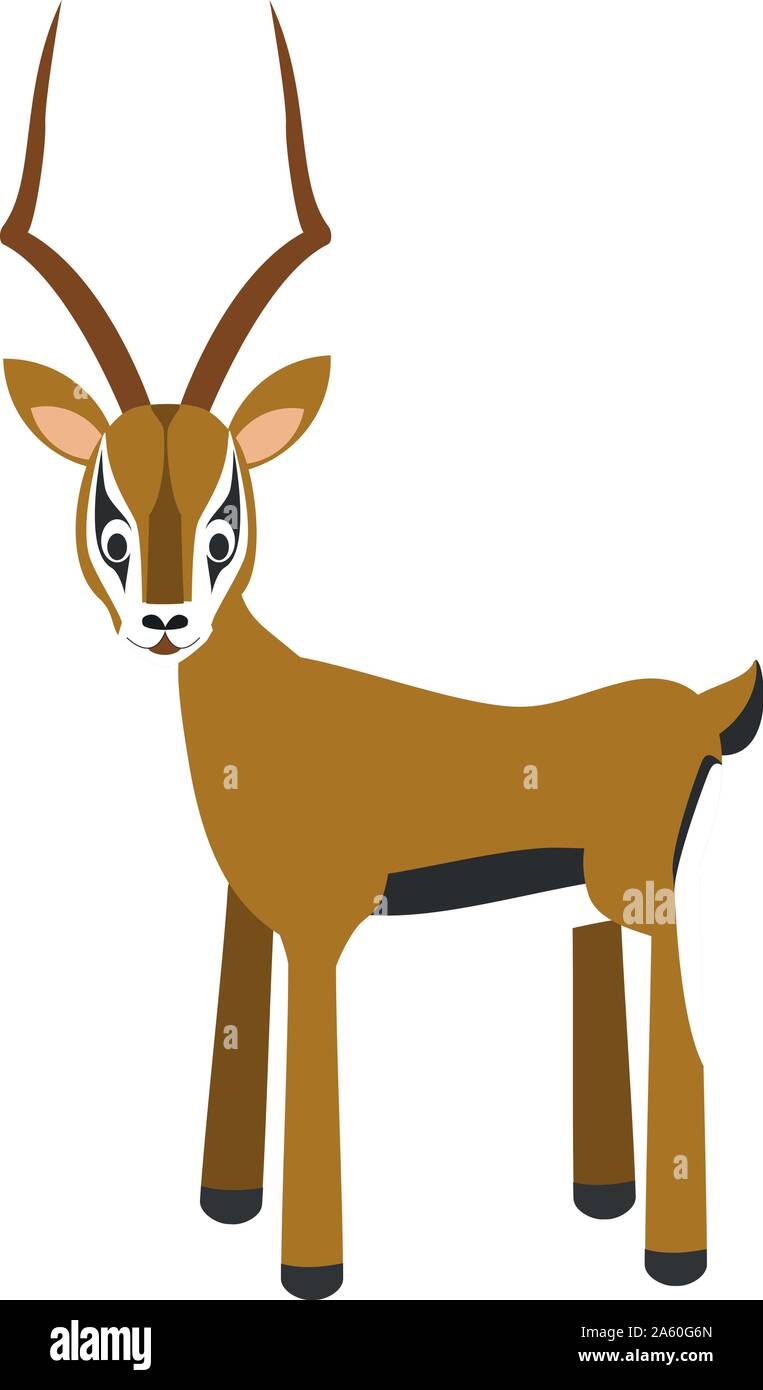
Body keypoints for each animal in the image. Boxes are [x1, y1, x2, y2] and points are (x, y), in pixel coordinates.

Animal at [3, 4, 761, 1301]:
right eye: (110, 513)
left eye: (225, 514)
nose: (166, 622)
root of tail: (711, 698)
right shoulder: (244, 912)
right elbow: (233, 1044)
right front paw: (221, 1212)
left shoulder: (321, 924)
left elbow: (313, 1082)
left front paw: (310, 1271)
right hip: (588, 909)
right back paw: (598, 1206)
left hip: (643, 898)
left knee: (702, 1057)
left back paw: (673, 1261)